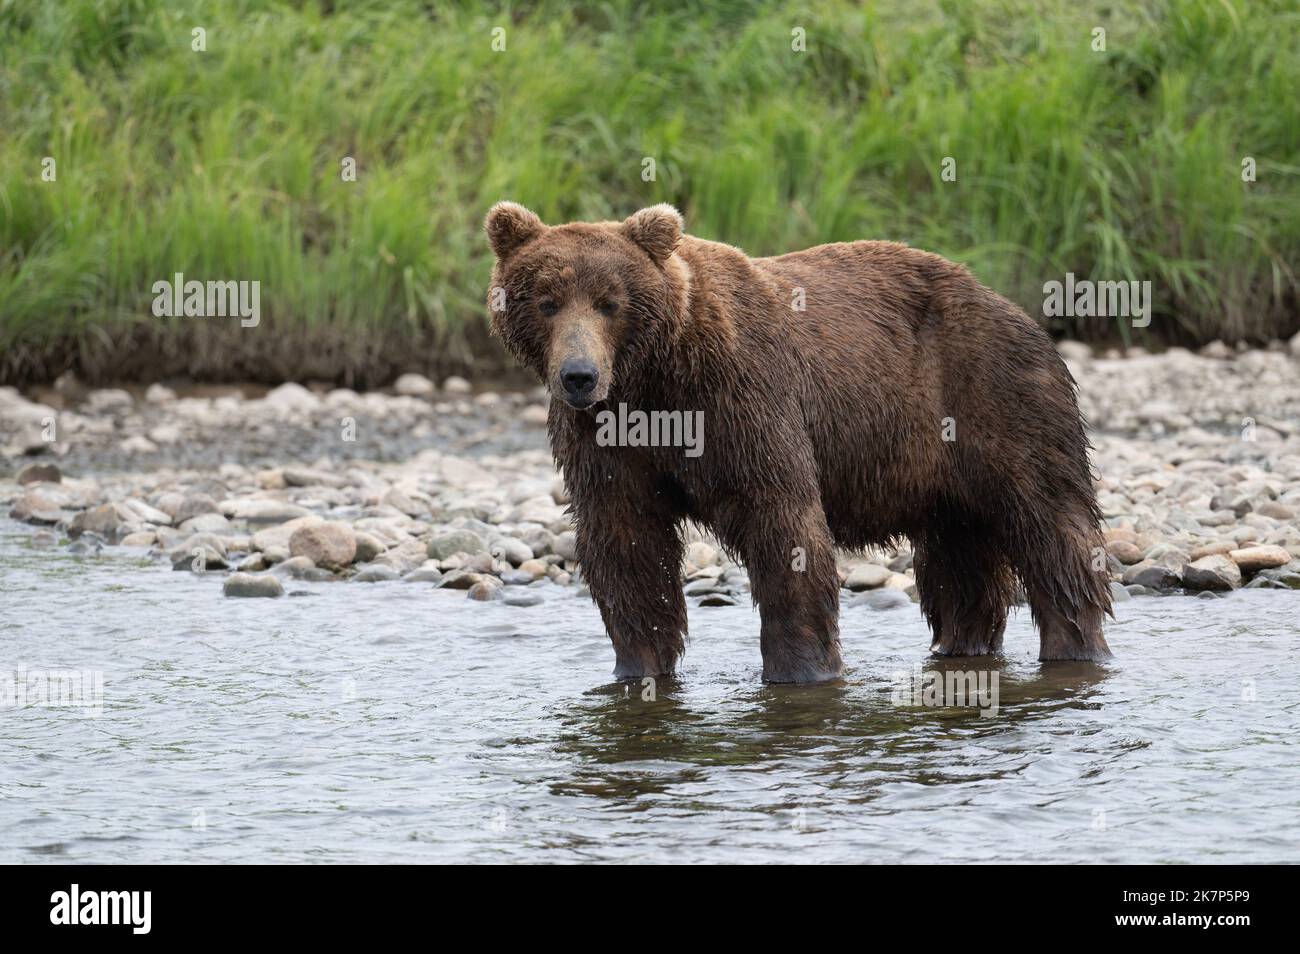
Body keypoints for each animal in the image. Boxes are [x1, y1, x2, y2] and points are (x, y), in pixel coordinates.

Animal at [485, 201, 1112, 683]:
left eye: (610, 302)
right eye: (546, 300)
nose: (579, 375)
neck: (655, 383)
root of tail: (1005, 301)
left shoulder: (742, 398)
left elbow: (783, 522)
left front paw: (801, 670)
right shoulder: (607, 441)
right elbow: (625, 543)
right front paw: (636, 667)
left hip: (995, 393)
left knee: (1050, 524)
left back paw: (1076, 644)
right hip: (938, 466)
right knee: (960, 559)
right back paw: (963, 644)